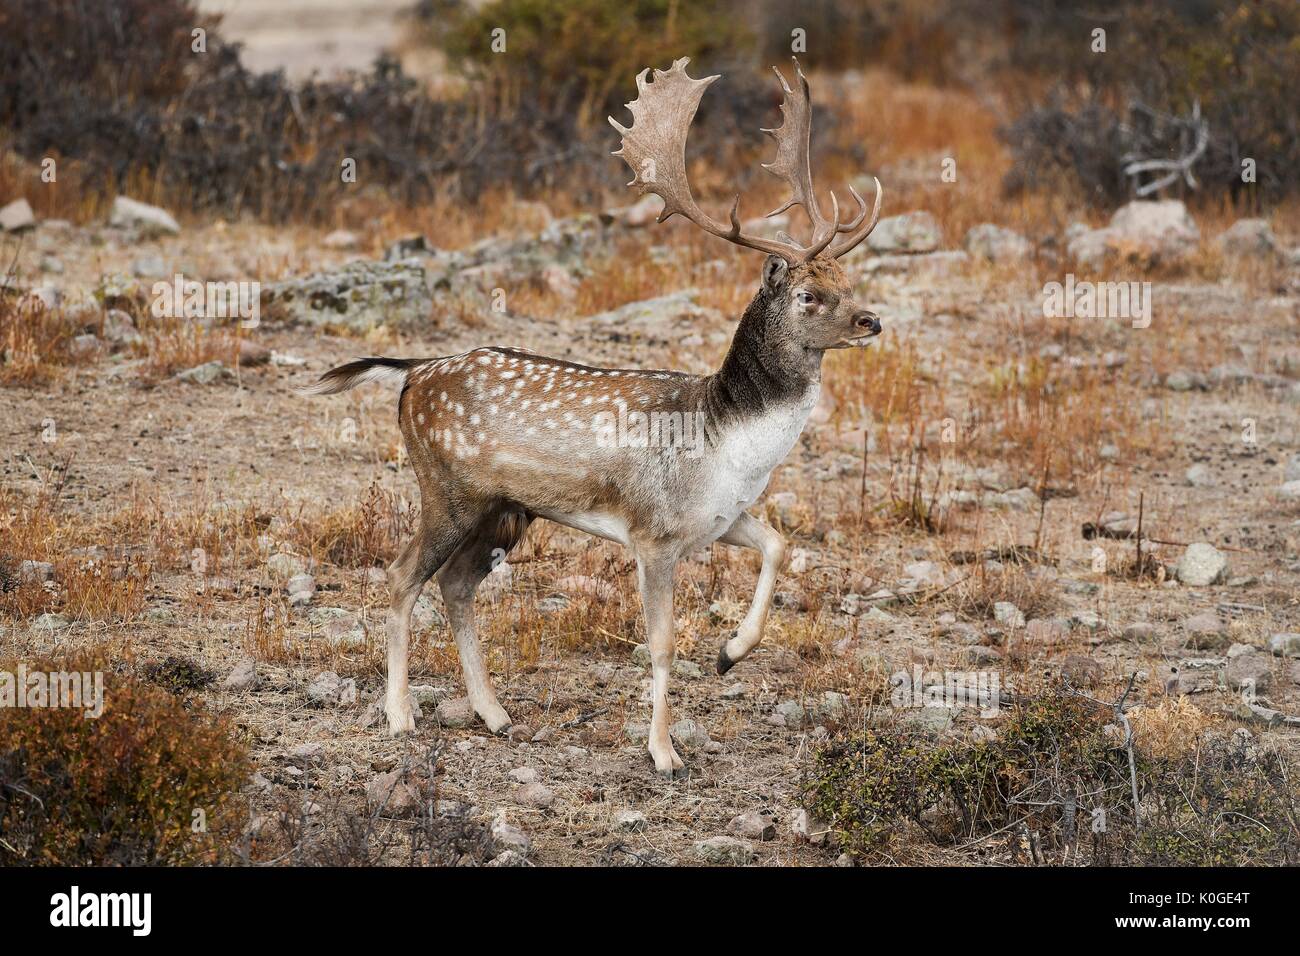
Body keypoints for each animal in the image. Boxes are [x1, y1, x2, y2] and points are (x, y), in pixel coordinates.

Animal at [305, 58, 883, 777]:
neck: (726, 441)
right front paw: (664, 752)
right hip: (446, 491)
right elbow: (661, 644)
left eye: (847, 278)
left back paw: (495, 714)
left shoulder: (718, 520)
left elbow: (780, 543)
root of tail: (412, 372)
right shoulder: (654, 533)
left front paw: (730, 653)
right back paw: (400, 716)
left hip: (506, 509)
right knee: (400, 576)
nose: (872, 320)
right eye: (809, 294)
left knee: (457, 586)